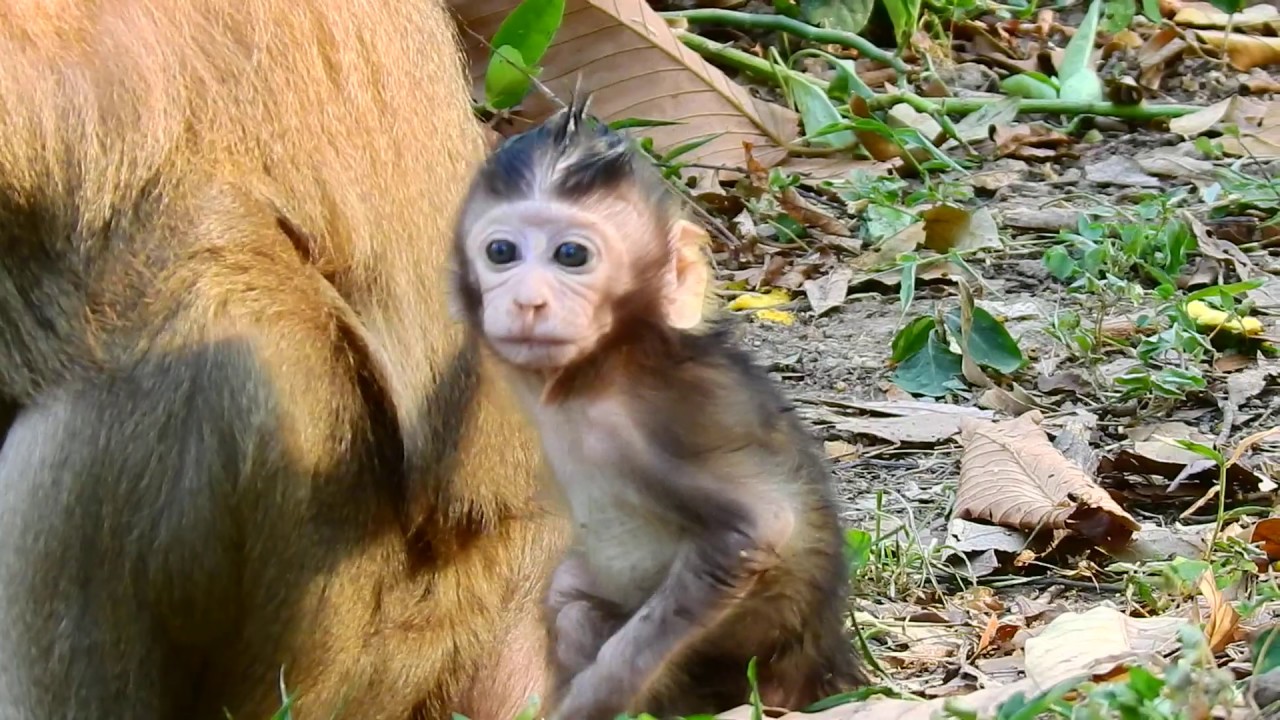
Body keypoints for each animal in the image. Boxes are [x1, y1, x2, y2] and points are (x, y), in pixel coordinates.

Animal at [449, 98, 869, 720]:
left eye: (571, 255)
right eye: (501, 252)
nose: (528, 301)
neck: (602, 368)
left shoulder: (649, 429)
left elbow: (756, 527)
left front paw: (590, 702)